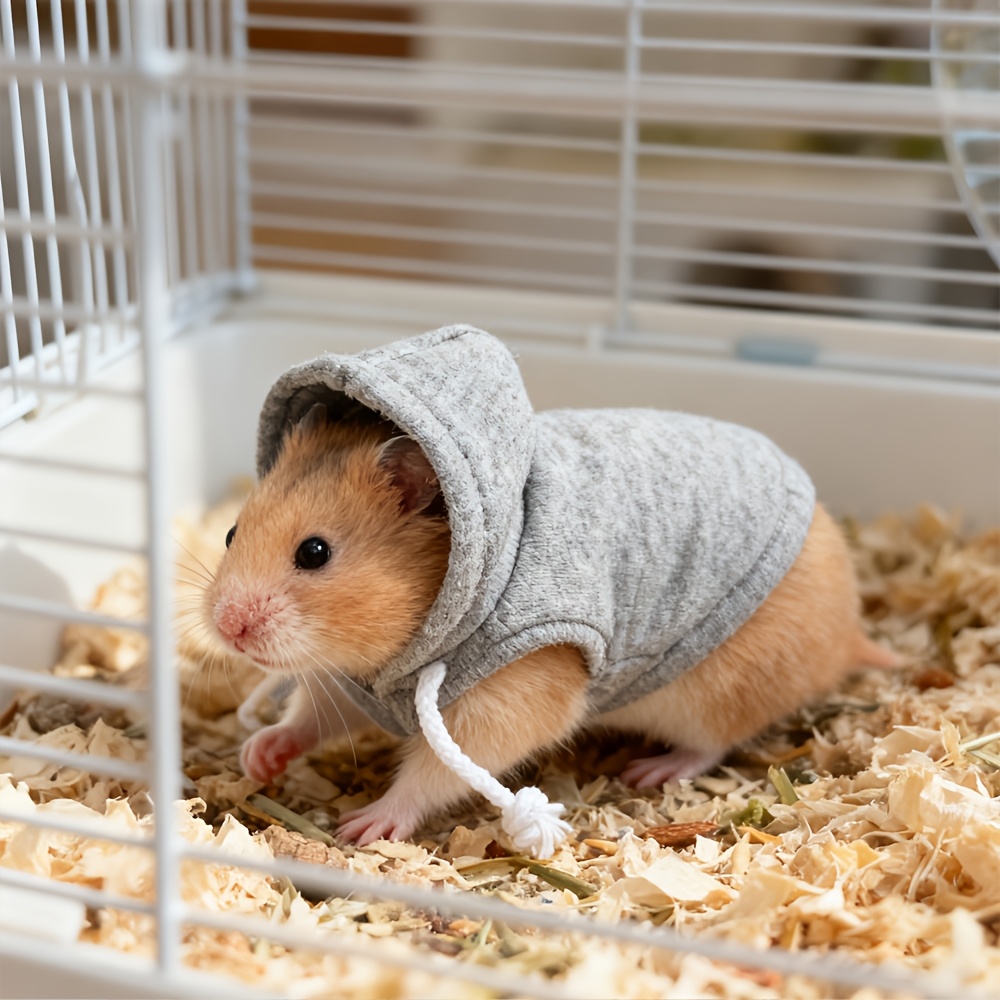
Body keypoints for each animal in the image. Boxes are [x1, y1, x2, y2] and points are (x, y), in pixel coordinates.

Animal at [202, 405, 898, 846]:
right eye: (232, 533)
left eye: (315, 552)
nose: (228, 628)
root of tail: (849, 636)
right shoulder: (347, 686)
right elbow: (309, 719)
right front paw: (257, 757)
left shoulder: (506, 702)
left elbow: (433, 772)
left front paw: (364, 825)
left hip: (715, 693)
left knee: (714, 743)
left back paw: (650, 771)